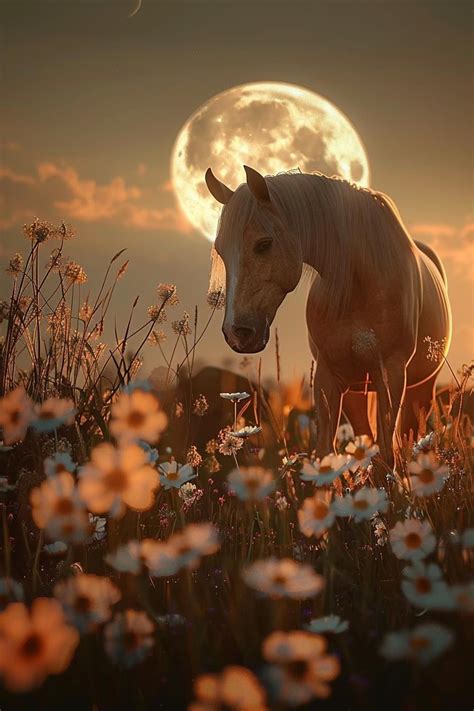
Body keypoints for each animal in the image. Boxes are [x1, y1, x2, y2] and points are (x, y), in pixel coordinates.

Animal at [204, 165, 452, 469]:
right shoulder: (328, 375)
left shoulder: (391, 374)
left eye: (264, 244)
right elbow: (326, 452)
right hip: (357, 392)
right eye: (221, 249)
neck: (358, 282)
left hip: (422, 389)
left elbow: (387, 453)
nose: (237, 332)